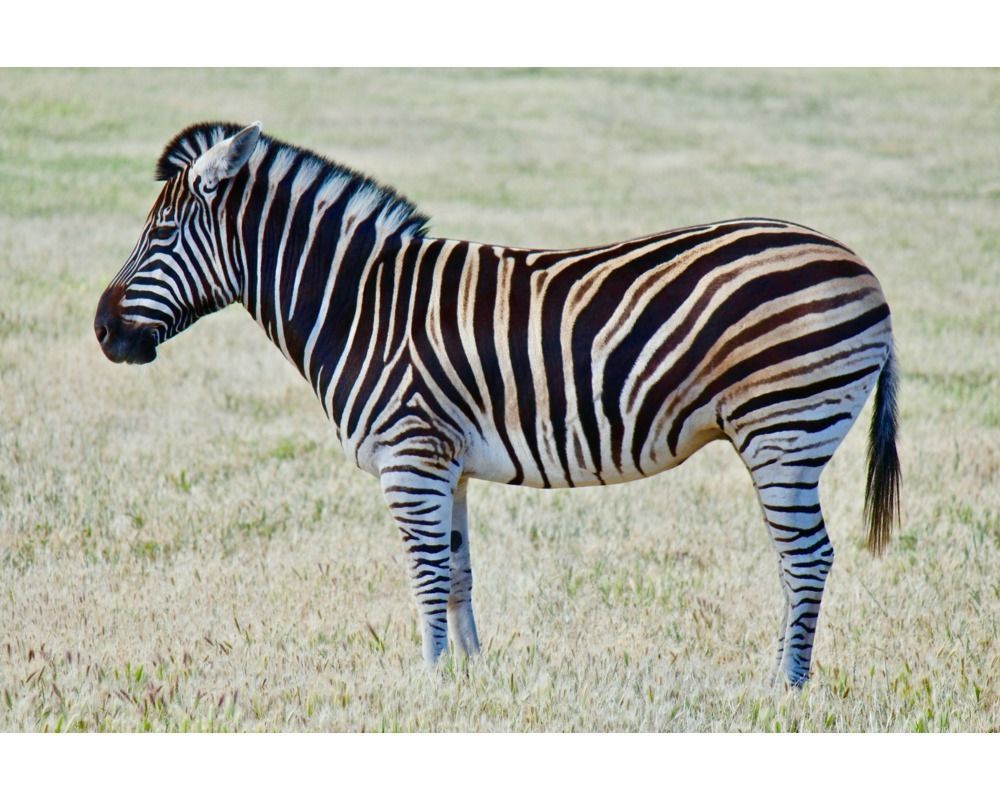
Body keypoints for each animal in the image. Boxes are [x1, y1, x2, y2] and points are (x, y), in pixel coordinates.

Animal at [95, 121, 900, 686]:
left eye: (161, 232)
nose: (102, 331)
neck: (361, 305)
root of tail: (861, 267)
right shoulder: (442, 462)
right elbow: (457, 572)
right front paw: (472, 678)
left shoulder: (409, 458)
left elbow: (424, 572)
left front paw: (425, 682)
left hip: (785, 430)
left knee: (806, 557)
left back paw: (785, 685)